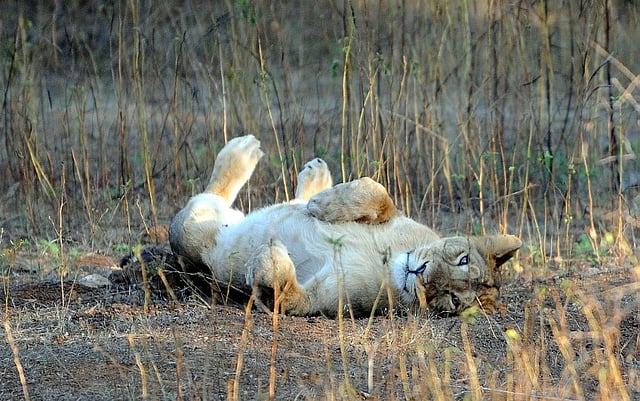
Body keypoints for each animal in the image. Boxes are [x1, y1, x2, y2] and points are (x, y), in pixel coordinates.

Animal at [169, 135, 522, 317]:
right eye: (462, 258)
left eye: (453, 301)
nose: (420, 273)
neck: (389, 260)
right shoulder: (398, 216)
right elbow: (379, 193)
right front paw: (322, 205)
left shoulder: (322, 301)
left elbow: (284, 295)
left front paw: (270, 257)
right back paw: (303, 172)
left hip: (192, 232)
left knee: (206, 199)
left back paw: (246, 154)